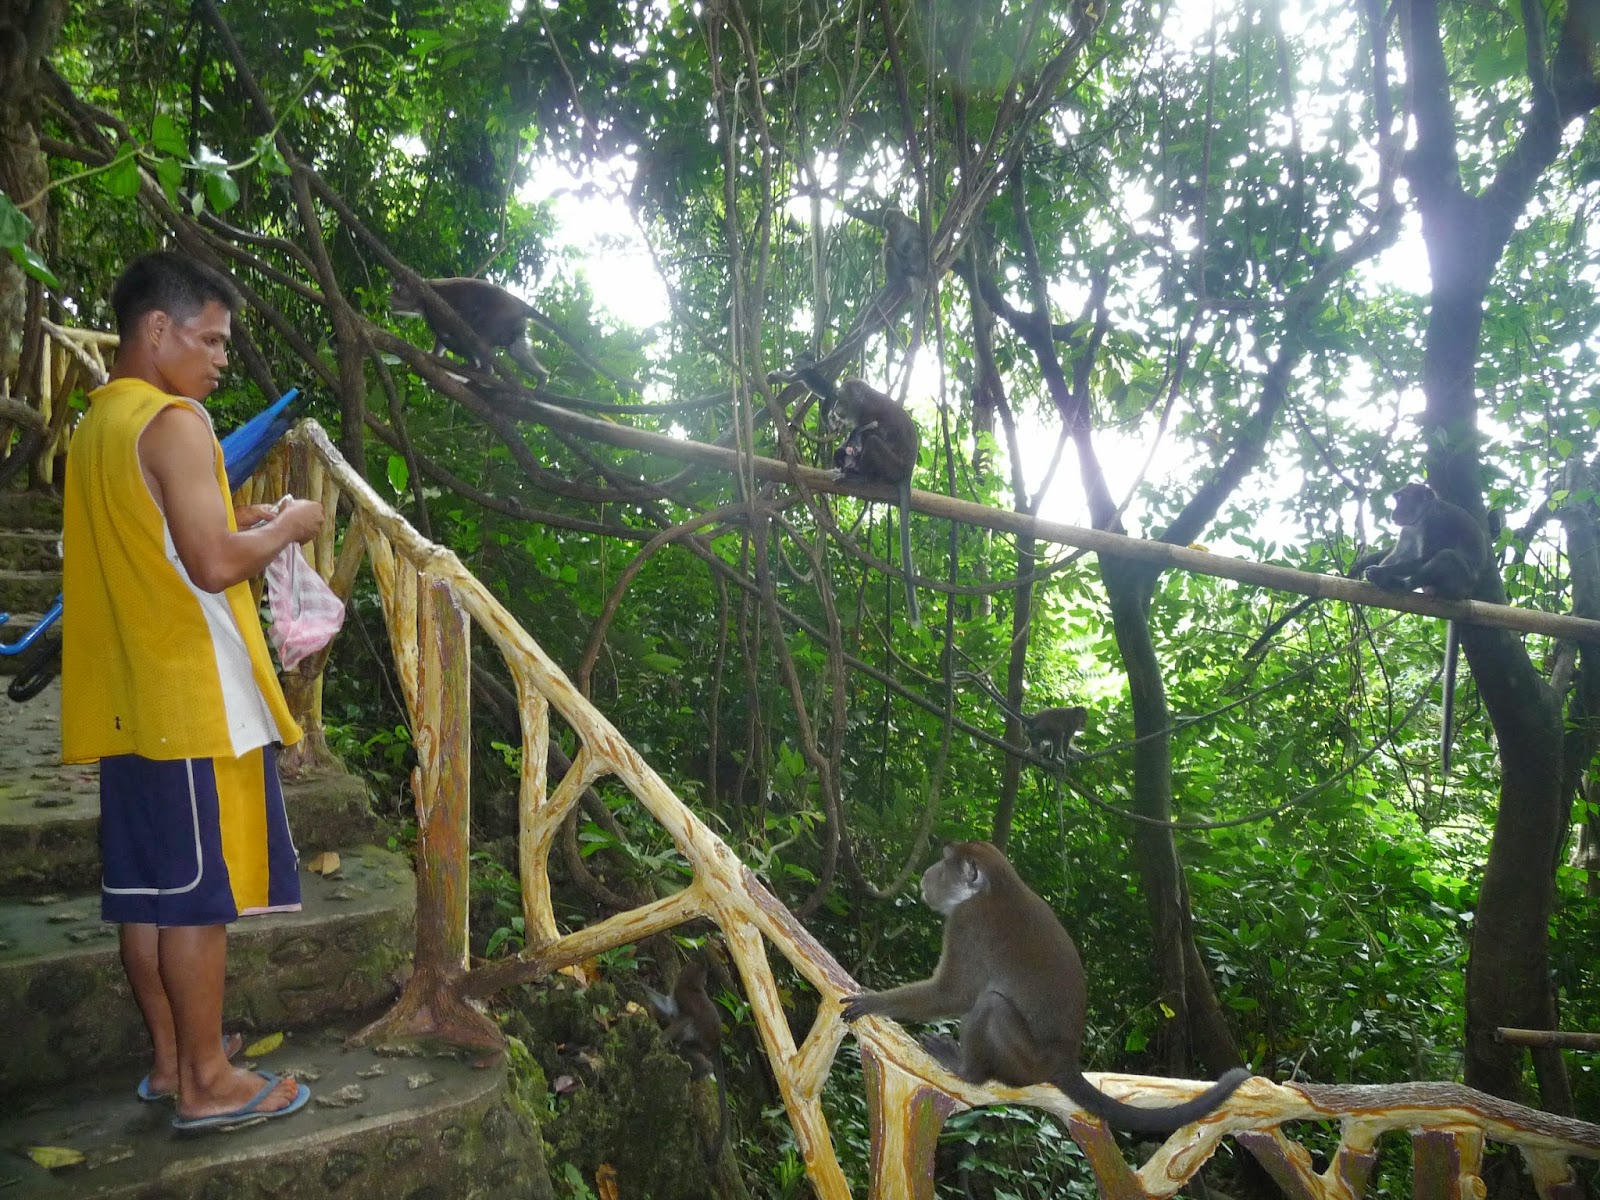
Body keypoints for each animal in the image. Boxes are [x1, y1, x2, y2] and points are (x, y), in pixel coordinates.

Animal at [390, 276, 550, 384]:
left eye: (397, 290)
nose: (389, 298)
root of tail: (517, 303)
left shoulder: (434, 305)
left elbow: (454, 332)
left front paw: (472, 364)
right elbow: (443, 336)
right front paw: (434, 356)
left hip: (500, 314)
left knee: (478, 335)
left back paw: (486, 371)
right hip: (515, 323)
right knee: (516, 351)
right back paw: (542, 377)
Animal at [643, 956, 730, 1164]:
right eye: (704, 975)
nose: (706, 982)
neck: (692, 986)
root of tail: (717, 1044)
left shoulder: (685, 998)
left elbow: (684, 1018)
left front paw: (660, 1040)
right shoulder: (679, 993)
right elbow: (669, 1009)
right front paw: (639, 985)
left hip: (702, 1046)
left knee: (693, 1051)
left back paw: (699, 1068)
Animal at [841, 841, 1252, 1133]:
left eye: (944, 863)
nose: (927, 873)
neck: (996, 888)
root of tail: (1065, 1061)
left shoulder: (967, 922)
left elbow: (954, 994)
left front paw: (874, 1001)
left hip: (1026, 1062)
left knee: (990, 1005)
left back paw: (968, 1070)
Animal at [1364, 482, 1491, 779]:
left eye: (1404, 498)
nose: (1395, 510)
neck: (1420, 518)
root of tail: (1465, 597)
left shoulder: (1435, 522)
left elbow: (1425, 556)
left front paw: (1382, 574)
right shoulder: (1408, 529)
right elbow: (1400, 553)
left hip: (1458, 582)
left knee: (1445, 558)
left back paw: (1401, 584)